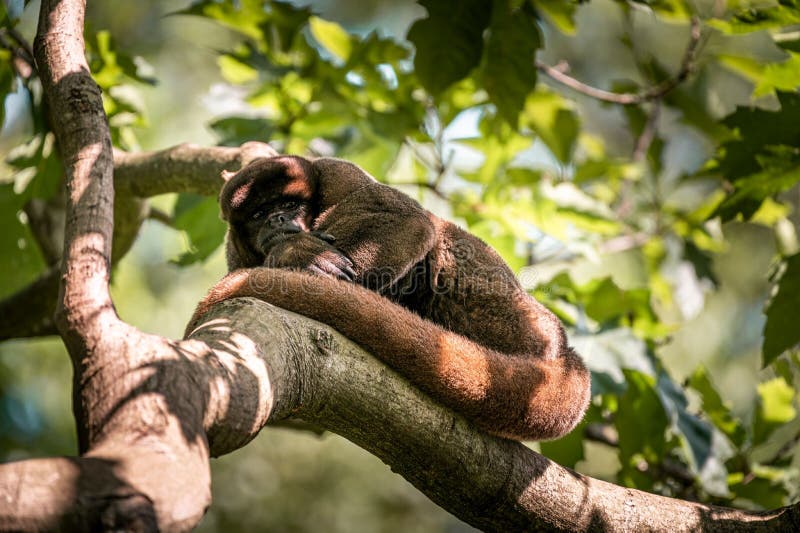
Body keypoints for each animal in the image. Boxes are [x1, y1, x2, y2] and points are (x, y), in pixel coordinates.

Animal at [188, 155, 591, 441]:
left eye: (289, 205)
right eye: (259, 213)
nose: (277, 220)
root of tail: (564, 352)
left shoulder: (339, 173)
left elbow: (405, 221)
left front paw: (300, 257)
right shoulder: (235, 250)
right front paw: (298, 255)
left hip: (513, 315)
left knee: (438, 232)